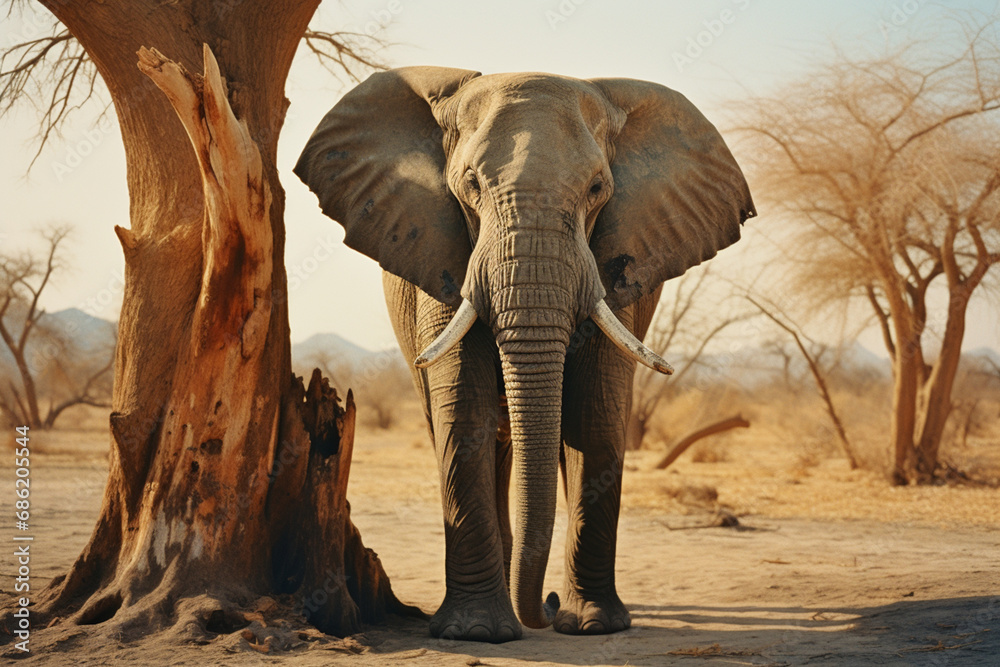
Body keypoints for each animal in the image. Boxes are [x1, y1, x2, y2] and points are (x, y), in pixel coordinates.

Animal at [294, 67, 755, 642]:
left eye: (598, 189)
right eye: (470, 185)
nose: (549, 607)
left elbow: (592, 416)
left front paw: (594, 626)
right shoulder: (444, 254)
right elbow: (462, 411)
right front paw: (475, 632)